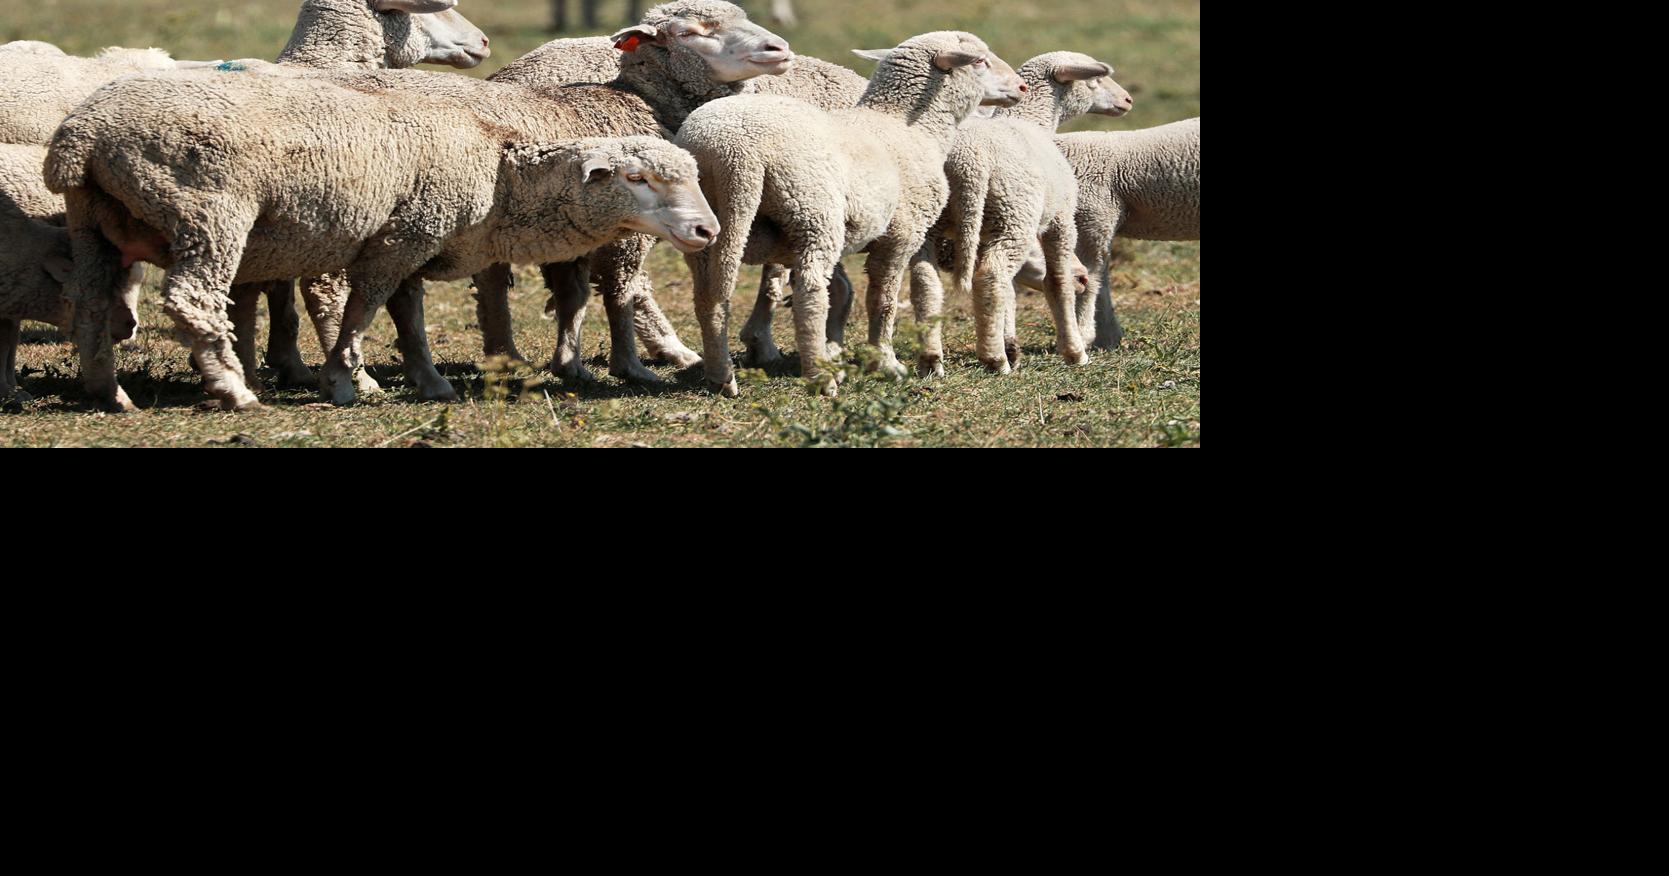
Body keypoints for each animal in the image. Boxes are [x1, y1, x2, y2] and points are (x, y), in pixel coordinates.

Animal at [46, 69, 719, 413]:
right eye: (635, 178)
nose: (707, 230)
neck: (499, 167)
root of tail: (84, 137)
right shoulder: (399, 239)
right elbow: (362, 309)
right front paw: (344, 381)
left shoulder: (416, 240)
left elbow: (408, 318)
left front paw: (426, 380)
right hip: (210, 215)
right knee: (193, 301)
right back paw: (234, 389)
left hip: (92, 222)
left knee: (90, 303)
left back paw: (109, 392)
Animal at [675, 31, 1024, 397]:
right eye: (980, 61)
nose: (1021, 86)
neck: (911, 127)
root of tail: (730, 152)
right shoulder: (903, 233)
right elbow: (883, 300)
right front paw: (885, 362)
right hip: (813, 213)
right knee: (810, 294)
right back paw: (820, 378)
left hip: (705, 223)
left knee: (707, 298)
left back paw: (720, 376)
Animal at [908, 51, 1132, 375]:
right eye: (1094, 80)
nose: (1127, 100)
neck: (1033, 120)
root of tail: (966, 164)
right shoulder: (1061, 219)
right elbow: (1058, 282)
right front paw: (1074, 352)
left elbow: (1012, 292)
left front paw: (1010, 343)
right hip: (1013, 215)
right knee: (991, 277)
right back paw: (994, 359)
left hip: (934, 223)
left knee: (926, 281)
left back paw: (931, 361)